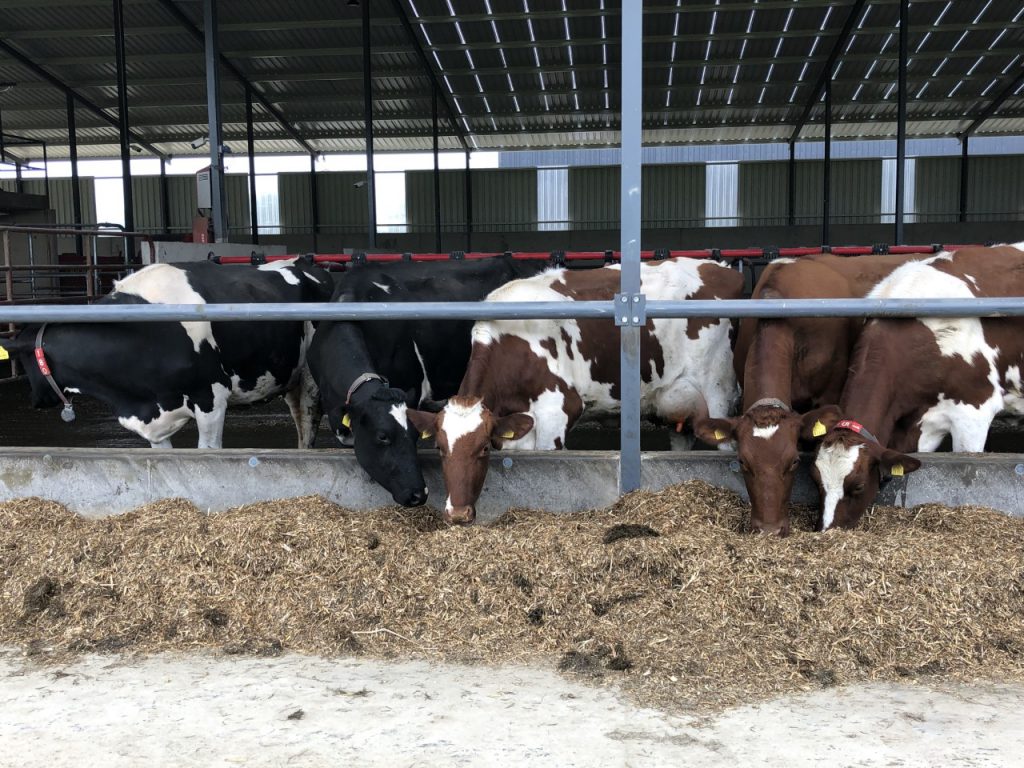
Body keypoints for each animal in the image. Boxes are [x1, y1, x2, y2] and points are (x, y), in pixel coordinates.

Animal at [0, 256, 333, 448]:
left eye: (25, 361)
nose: (35, 400)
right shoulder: (149, 415)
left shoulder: (211, 398)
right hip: (289, 377)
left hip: (310, 379)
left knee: (308, 423)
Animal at [407, 258, 745, 524]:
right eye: (439, 448)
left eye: (482, 449)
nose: (457, 514)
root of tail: (721, 268)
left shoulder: (558, 411)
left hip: (718, 391)